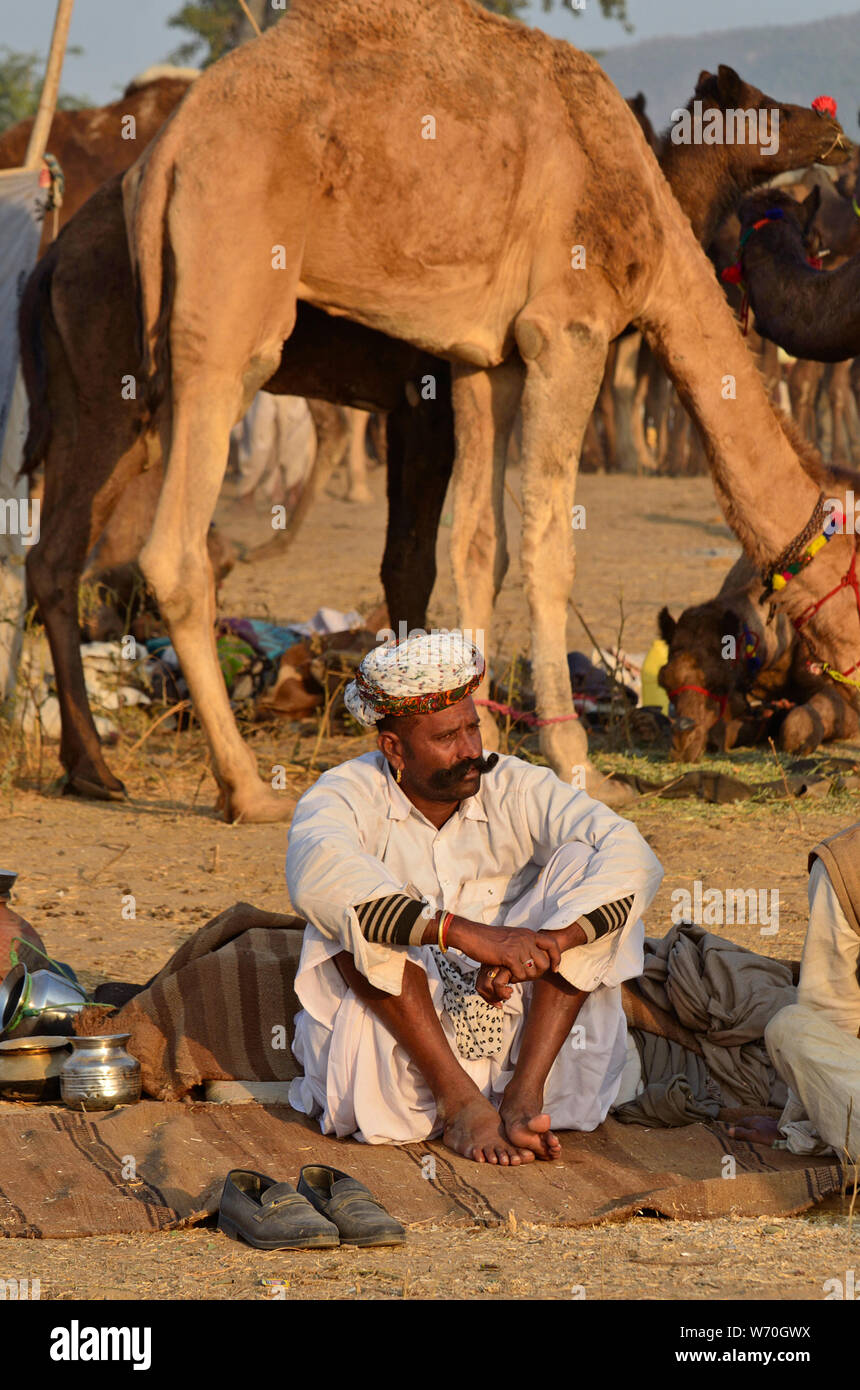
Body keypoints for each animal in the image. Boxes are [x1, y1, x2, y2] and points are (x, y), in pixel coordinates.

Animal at [116, 0, 857, 822]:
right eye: (766, 107)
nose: (838, 133)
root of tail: (166, 151)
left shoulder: (485, 359)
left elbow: (479, 545)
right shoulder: (568, 328)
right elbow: (547, 547)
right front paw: (580, 765)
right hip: (230, 301)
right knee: (174, 546)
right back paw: (247, 788)